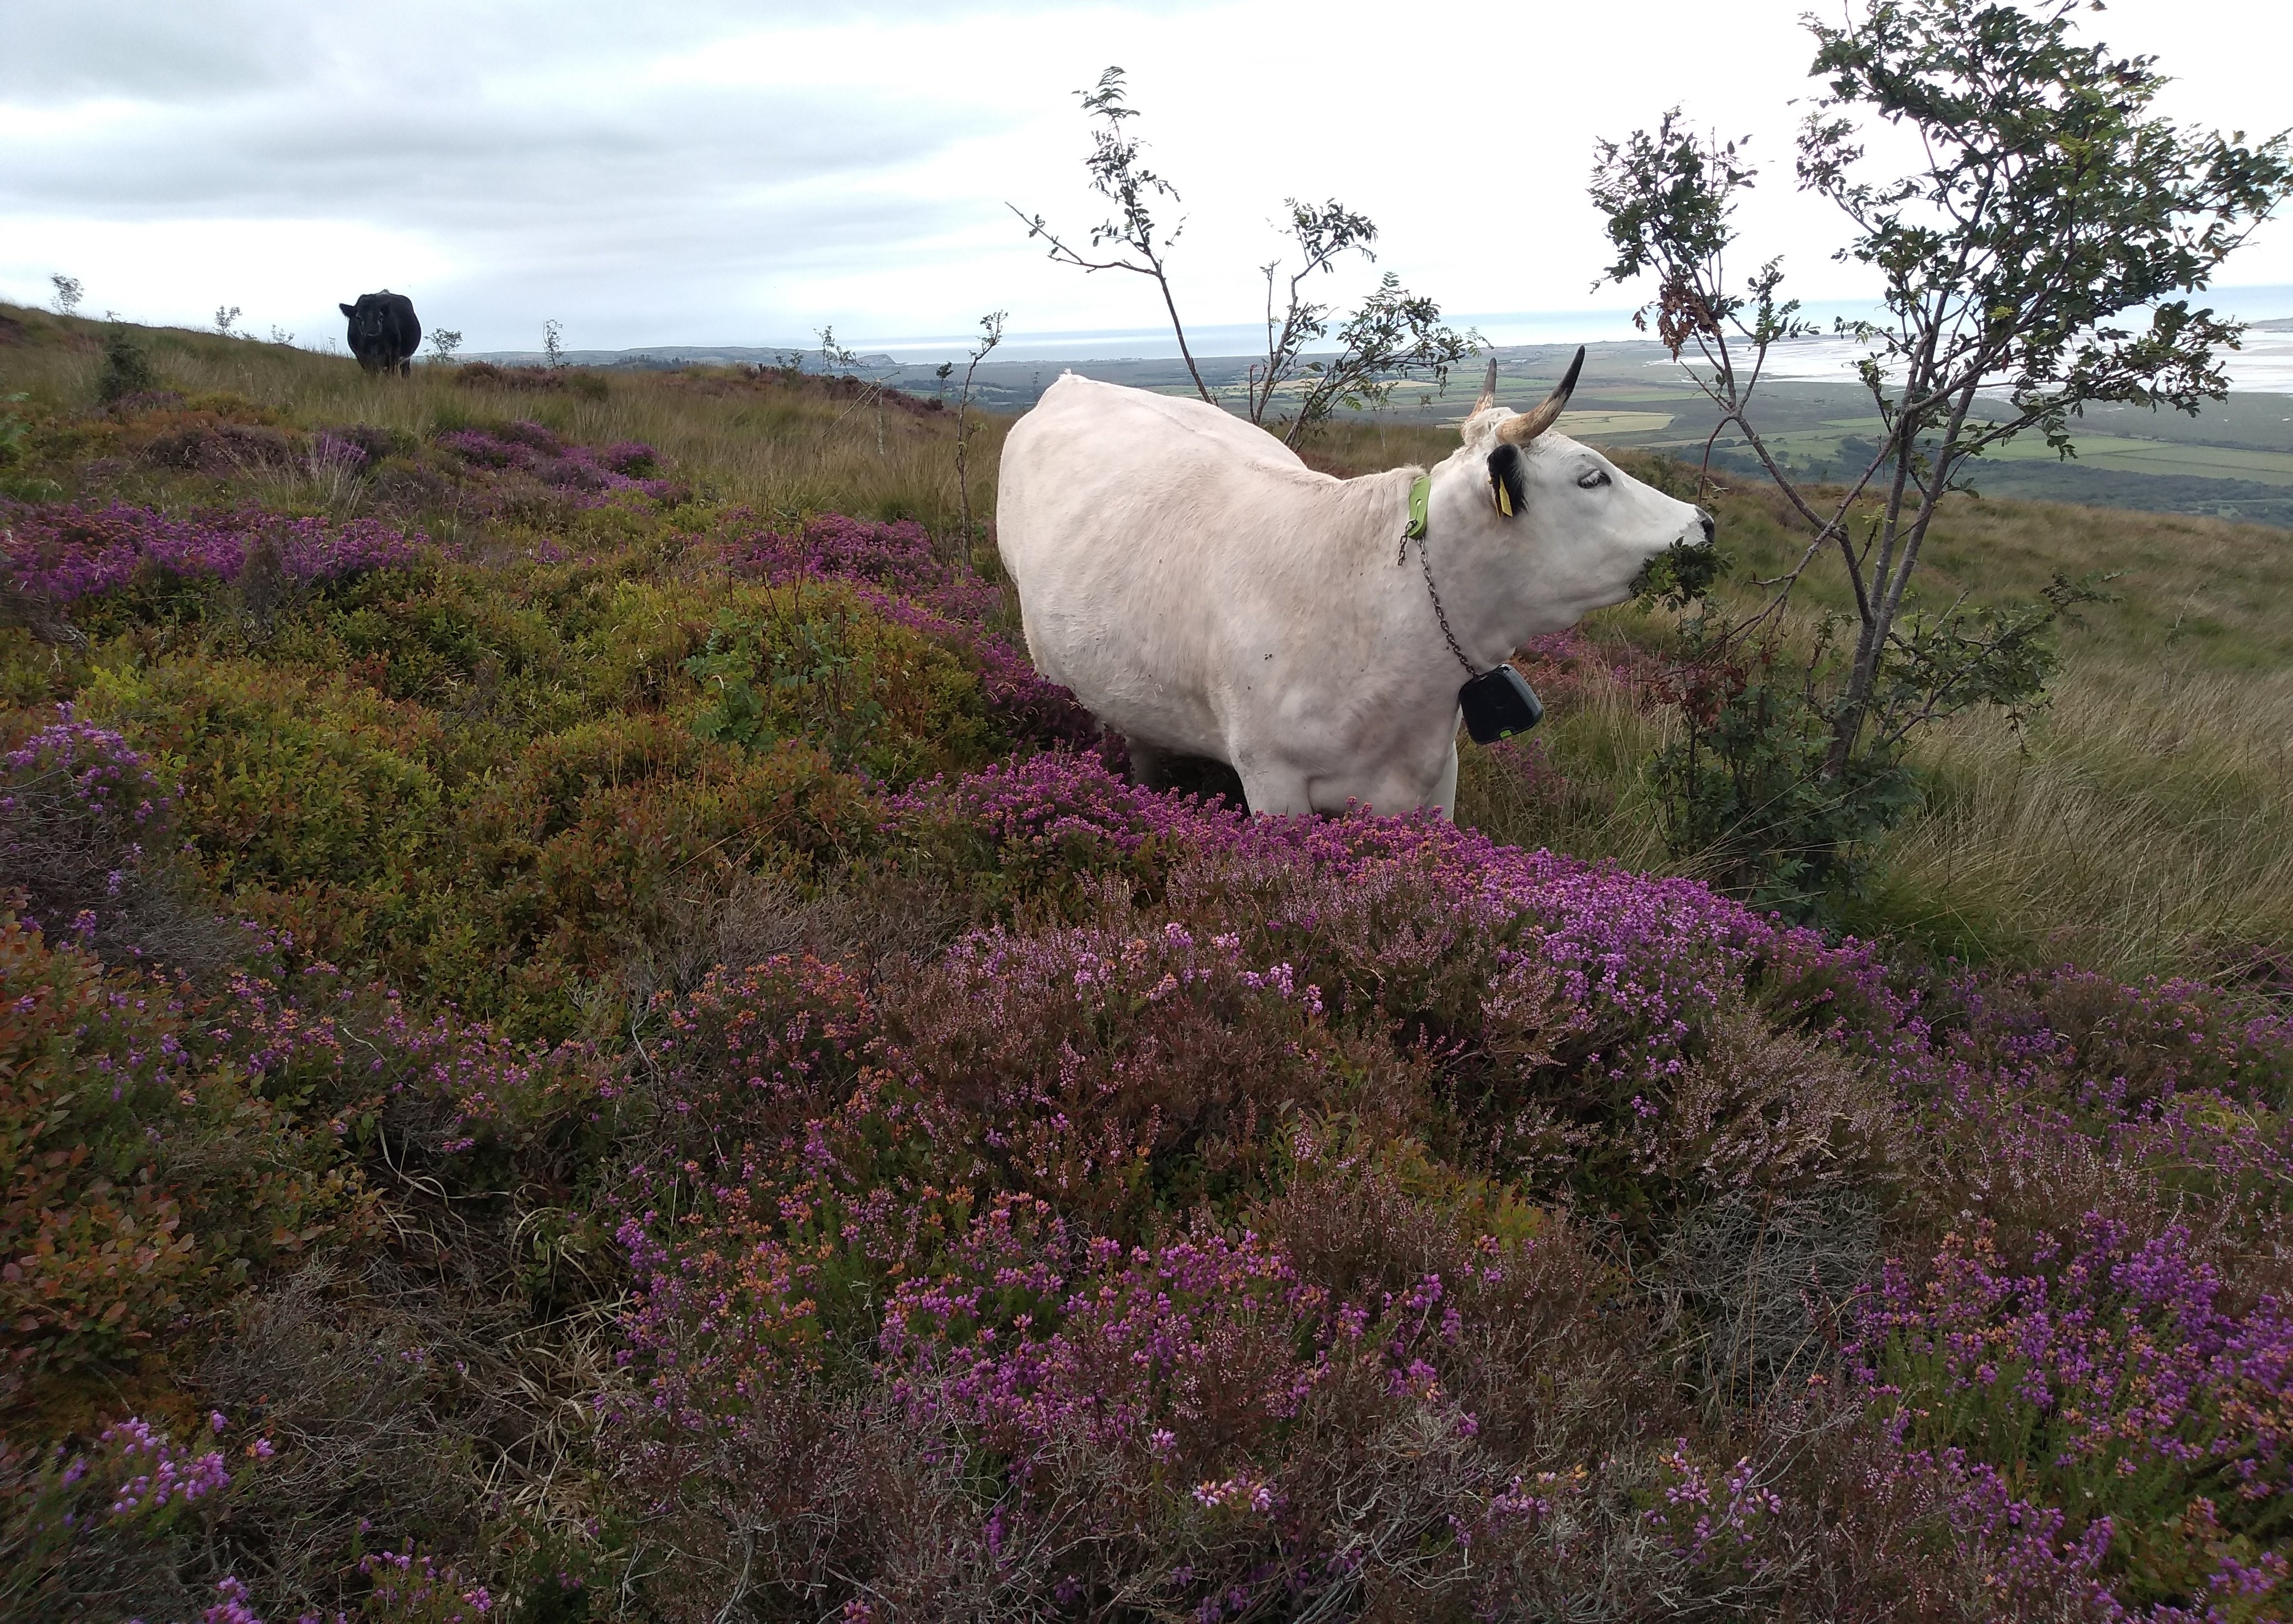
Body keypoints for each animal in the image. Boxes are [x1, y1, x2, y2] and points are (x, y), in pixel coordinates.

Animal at [338, 290, 421, 376]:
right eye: (358, 317)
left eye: (381, 316)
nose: (373, 335)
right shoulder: (361, 356)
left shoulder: (393, 354)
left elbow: (390, 372)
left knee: (405, 370)